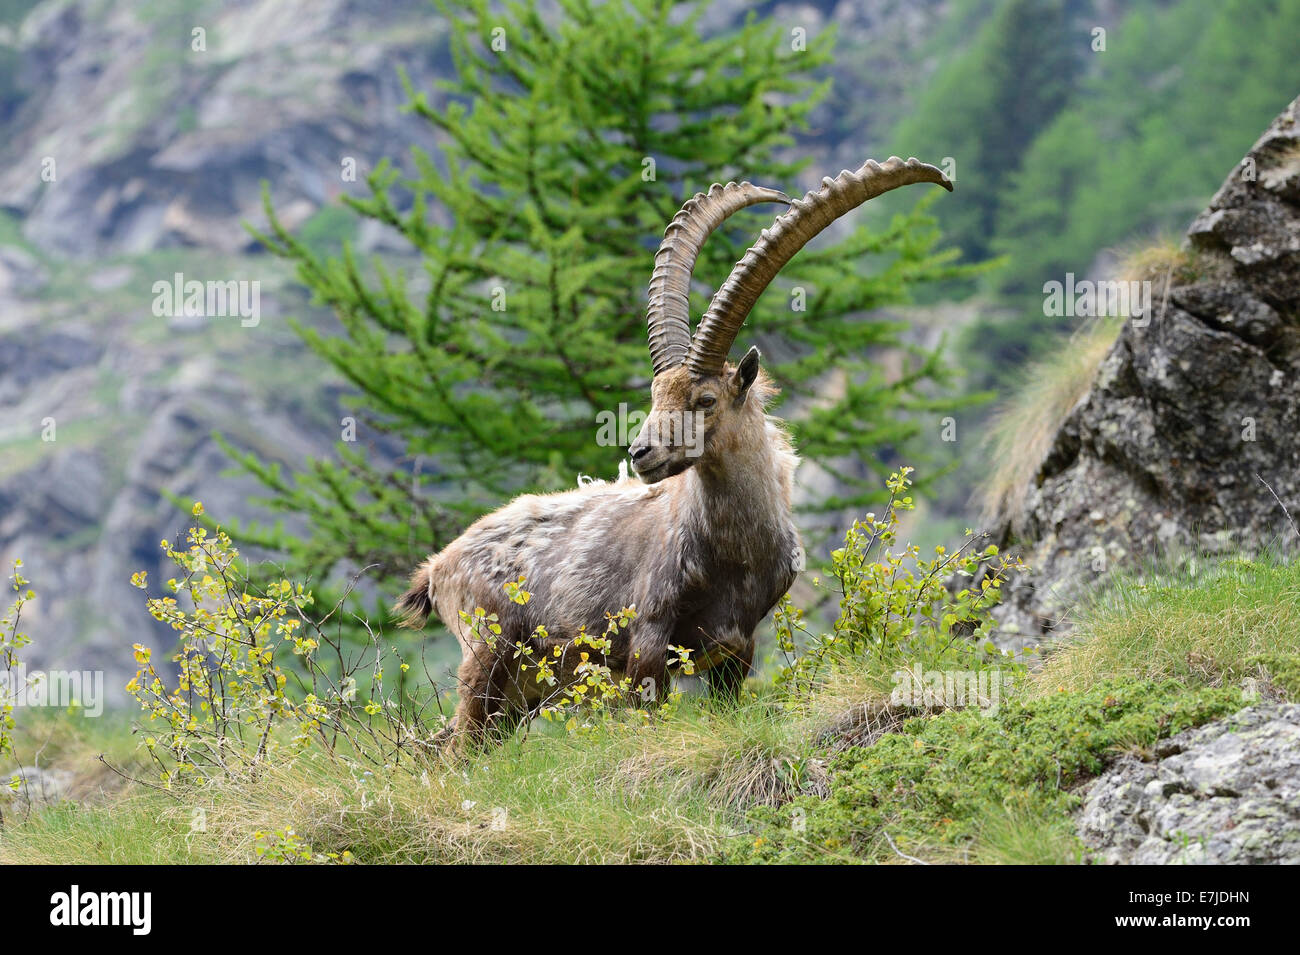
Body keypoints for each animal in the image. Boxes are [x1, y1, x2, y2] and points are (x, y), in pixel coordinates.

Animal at [395, 157, 953, 747]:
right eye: (655, 395)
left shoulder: (737, 650)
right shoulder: (646, 642)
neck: (733, 550)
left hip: (517, 692)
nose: (641, 454)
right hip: (488, 655)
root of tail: (439, 566)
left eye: (704, 399)